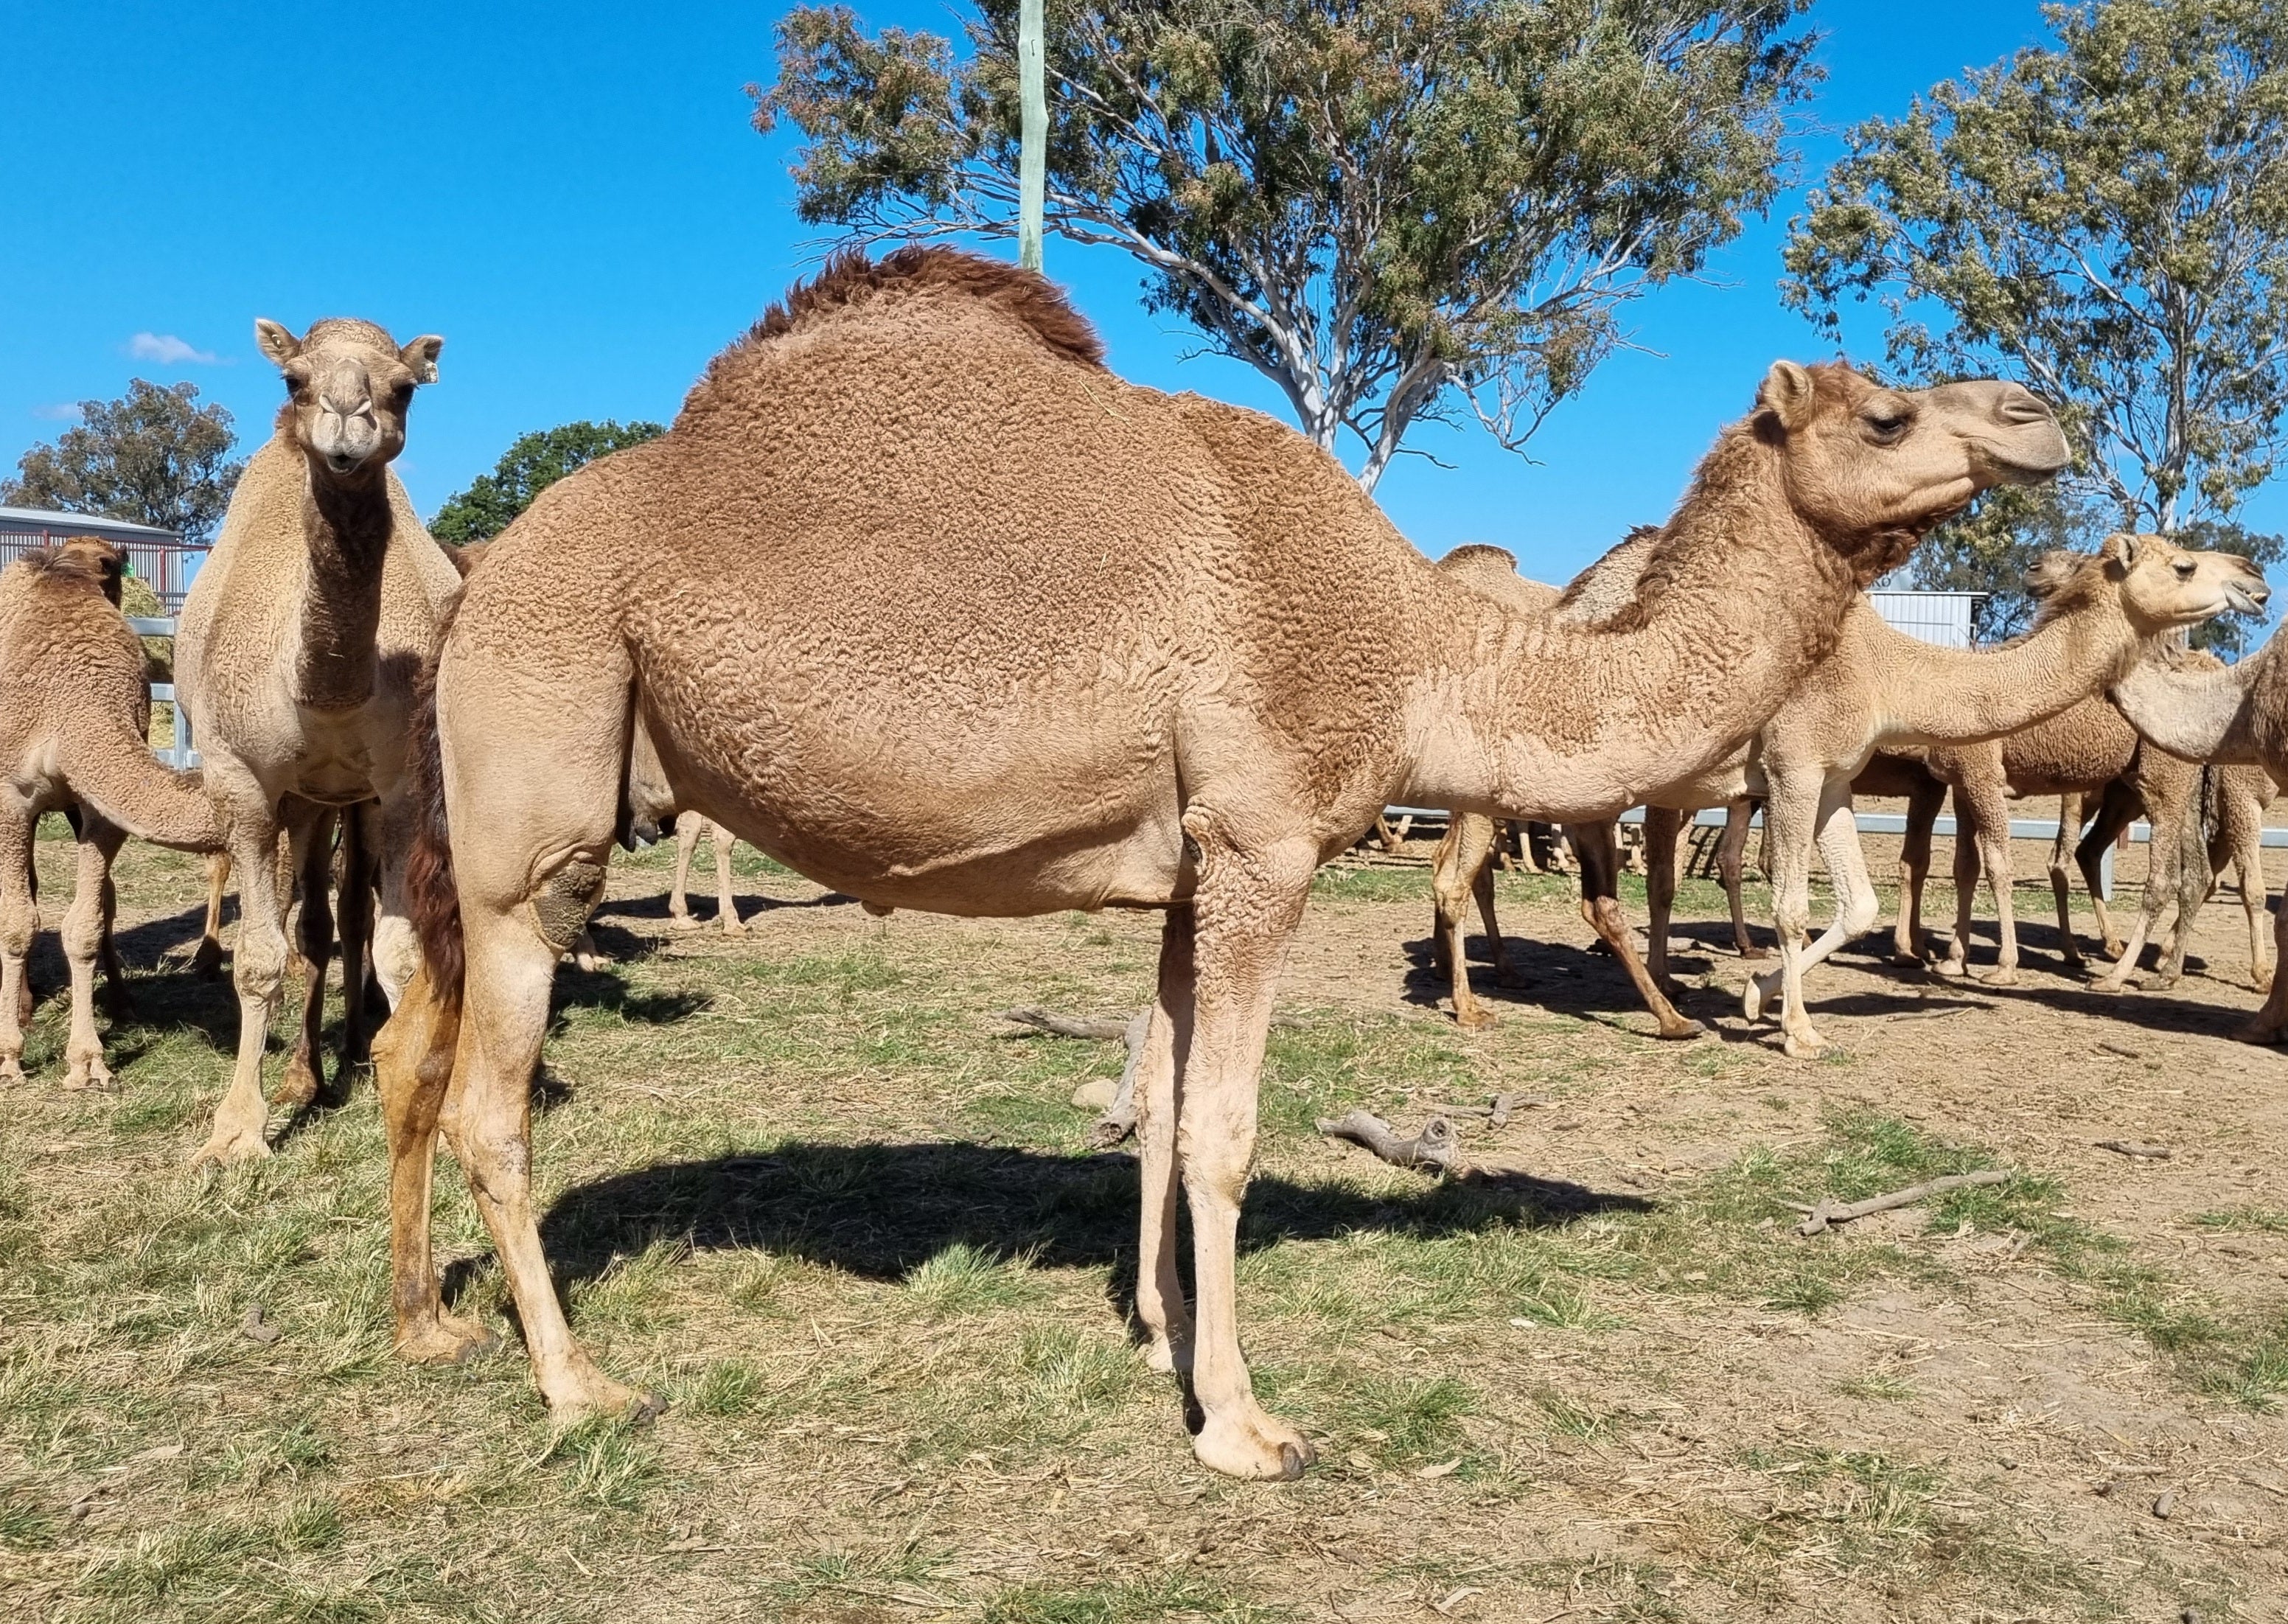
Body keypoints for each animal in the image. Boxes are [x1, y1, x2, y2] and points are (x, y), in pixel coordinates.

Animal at [0, 538, 223, 1086]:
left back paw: (118, 1001)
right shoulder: (12, 797)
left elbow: (87, 920)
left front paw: (87, 1061)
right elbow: (16, 921)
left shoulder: (99, 810)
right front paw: (11, 1056)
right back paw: (23, 1007)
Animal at [173, 316, 458, 1164]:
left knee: (350, 915)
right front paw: (237, 1130)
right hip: (302, 799)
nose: (346, 421)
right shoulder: (240, 776)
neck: (322, 693)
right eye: (294, 381)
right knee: (313, 926)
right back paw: (306, 1074)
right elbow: (261, 957)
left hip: (352, 798)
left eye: (403, 388)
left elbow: (401, 950)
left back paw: (355, 1047)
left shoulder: (402, 783)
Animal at [367, 247, 2063, 1479]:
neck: (1418, 645)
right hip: (542, 792)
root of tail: (477, 582)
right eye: (1887, 415)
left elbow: (1167, 1104)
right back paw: (580, 1385)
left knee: (414, 1050)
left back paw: (426, 1325)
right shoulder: (1263, 843)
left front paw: (1156, 1336)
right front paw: (1244, 1423)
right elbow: (1228, 1131)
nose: (2039, 415)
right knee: (492, 1102)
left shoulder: (1190, 870)